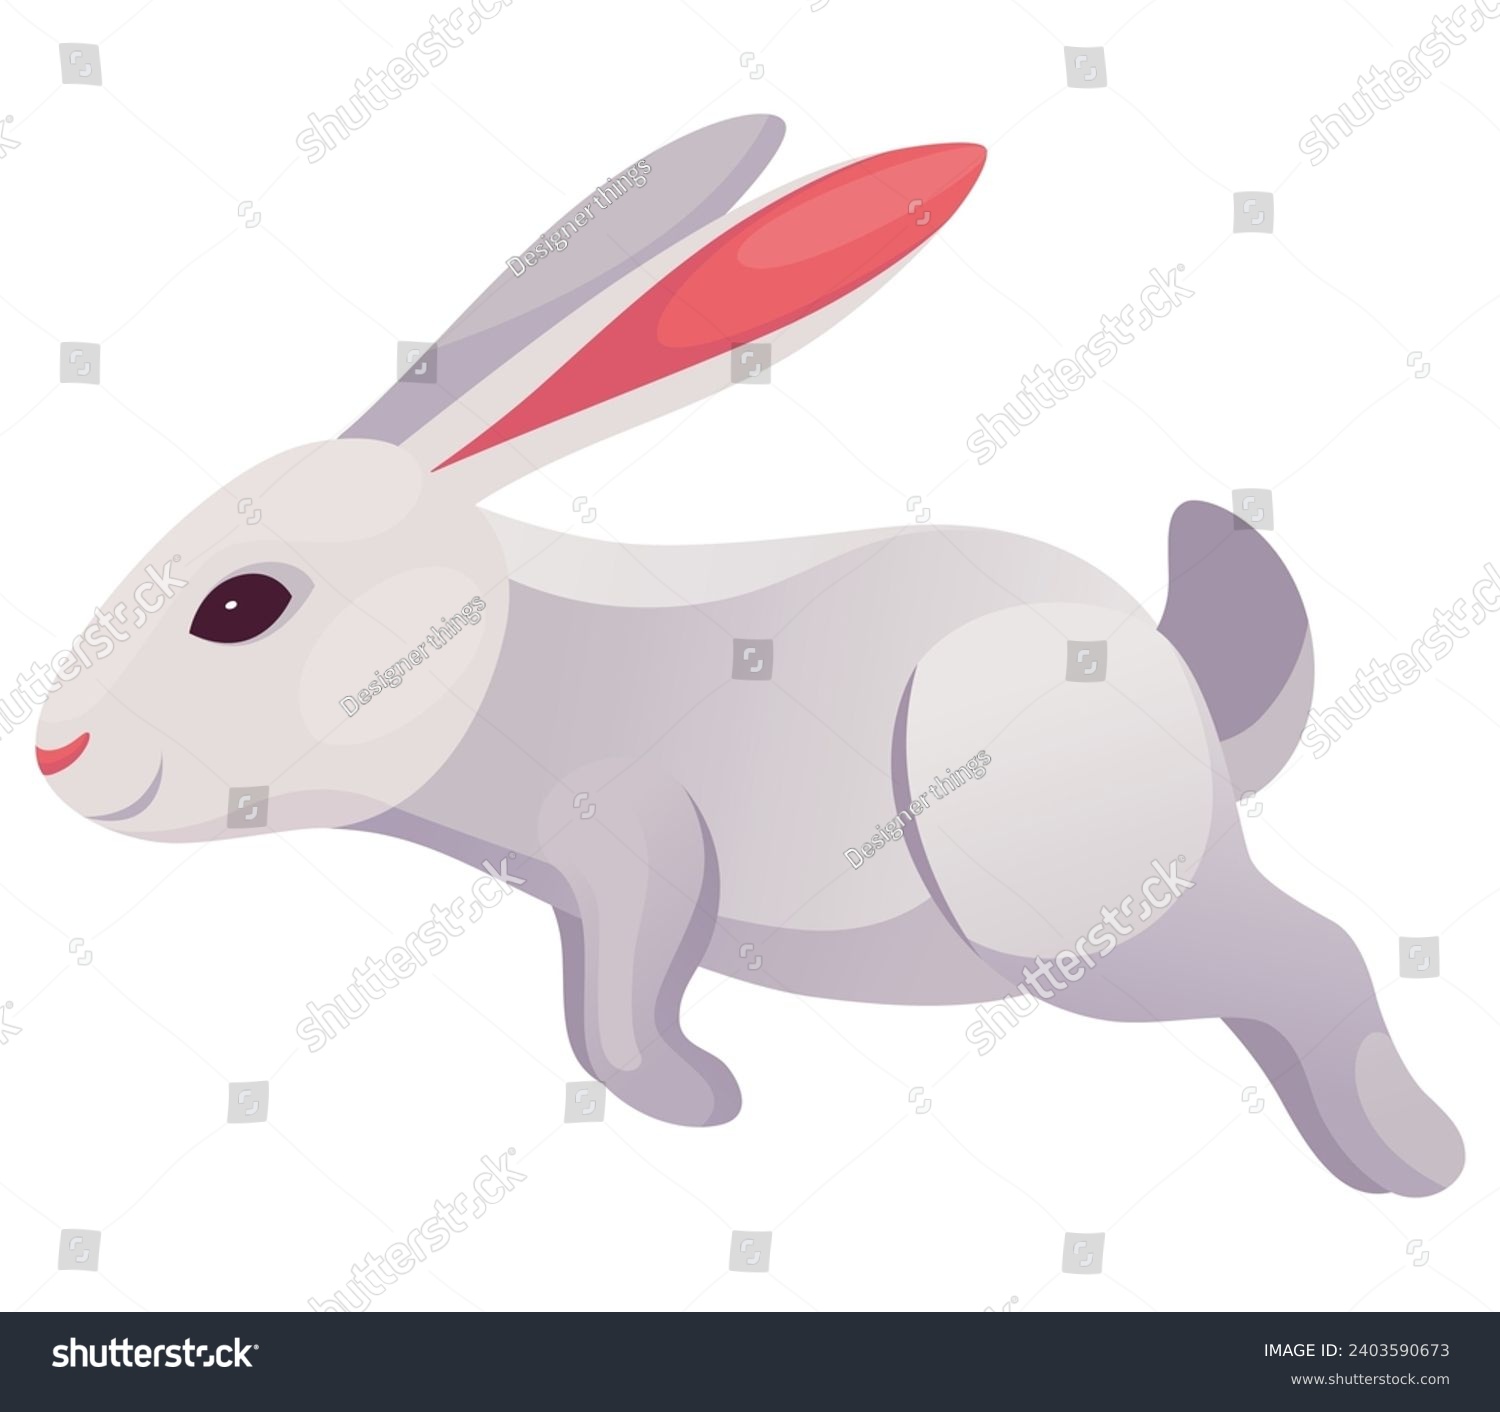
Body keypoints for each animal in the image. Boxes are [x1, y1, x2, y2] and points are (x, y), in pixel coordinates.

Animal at [35, 114, 1461, 1197]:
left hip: (1075, 908)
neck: (504, 649)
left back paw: (1414, 1158)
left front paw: (693, 1098)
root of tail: (1193, 709)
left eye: (239, 606)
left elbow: (621, 999)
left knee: (1318, 955)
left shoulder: (631, 836)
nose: (58, 753)